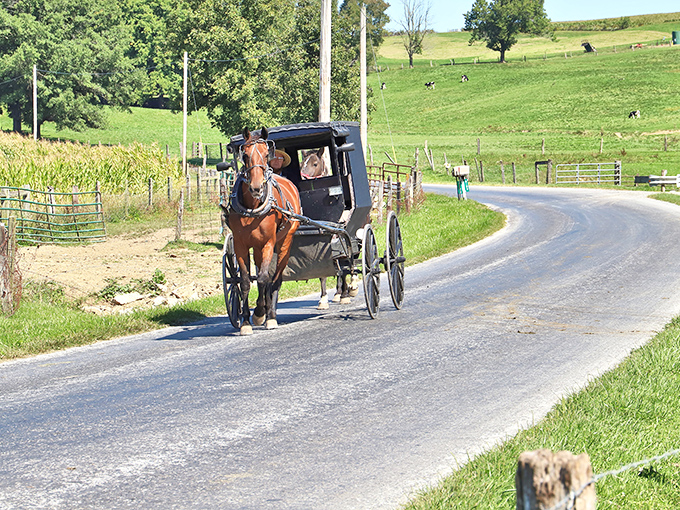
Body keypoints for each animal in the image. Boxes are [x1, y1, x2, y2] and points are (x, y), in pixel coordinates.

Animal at [226, 127, 302, 335]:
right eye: (244, 155)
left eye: (267, 154)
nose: (256, 188)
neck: (252, 208)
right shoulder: (240, 245)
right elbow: (244, 281)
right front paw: (245, 322)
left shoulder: (268, 243)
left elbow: (263, 279)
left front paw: (263, 315)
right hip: (258, 248)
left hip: (284, 243)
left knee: (275, 279)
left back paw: (271, 314)